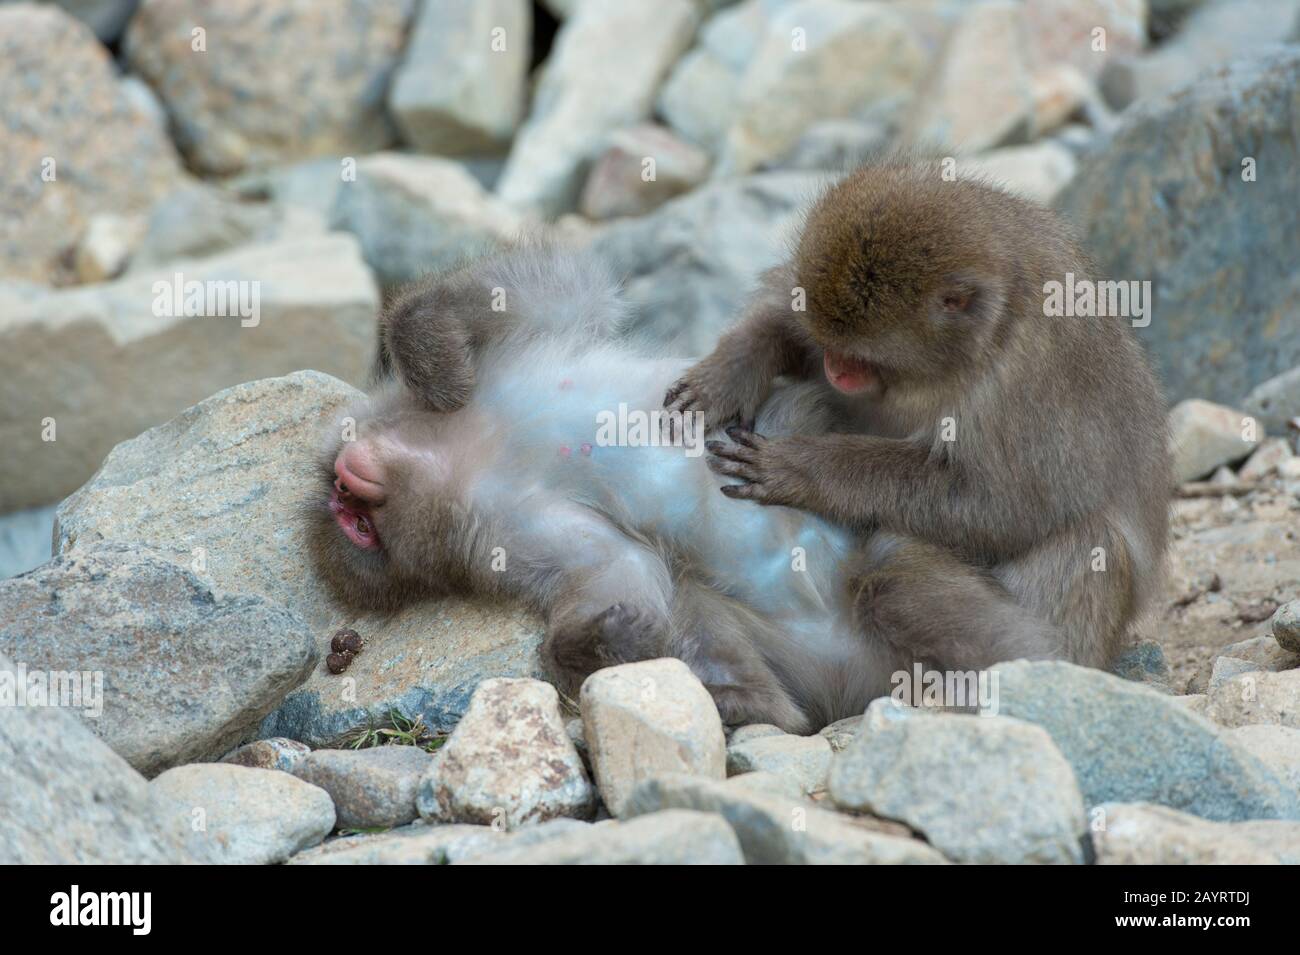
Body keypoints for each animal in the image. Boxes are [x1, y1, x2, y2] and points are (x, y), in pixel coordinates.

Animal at [308, 241, 941, 734]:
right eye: (356, 524)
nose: (345, 483)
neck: (474, 449)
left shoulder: (514, 359)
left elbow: (557, 285)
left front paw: (437, 369)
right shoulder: (501, 527)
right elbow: (619, 567)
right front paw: (601, 642)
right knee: (696, 600)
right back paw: (744, 701)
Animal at [664, 159, 1172, 673]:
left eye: (862, 358)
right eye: (829, 344)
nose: (834, 368)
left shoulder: (1026, 380)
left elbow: (1004, 506)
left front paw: (800, 468)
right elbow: (782, 312)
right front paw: (726, 376)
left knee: (1088, 541)